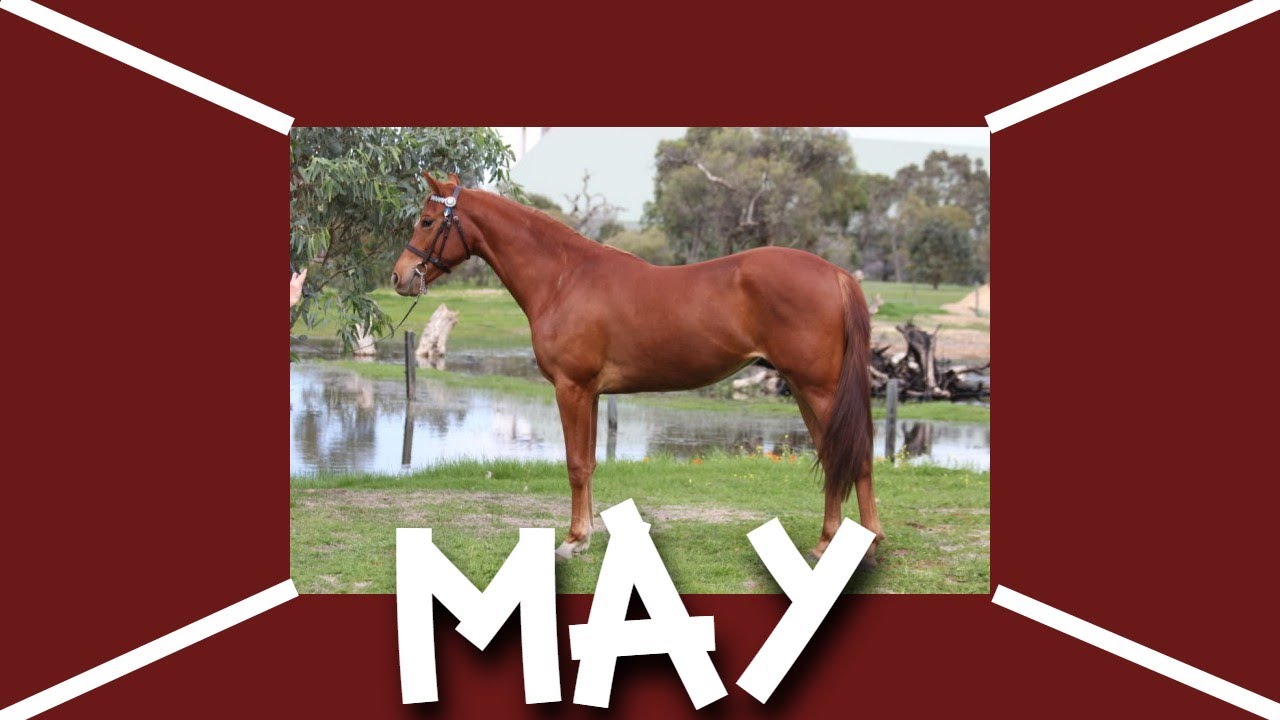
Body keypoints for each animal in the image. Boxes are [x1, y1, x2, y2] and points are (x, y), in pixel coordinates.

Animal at [390, 173, 884, 564]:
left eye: (428, 221)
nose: (399, 276)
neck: (563, 279)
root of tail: (837, 274)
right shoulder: (590, 393)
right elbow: (589, 463)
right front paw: (585, 537)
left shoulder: (571, 389)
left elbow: (575, 465)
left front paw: (572, 541)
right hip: (804, 389)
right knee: (834, 454)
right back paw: (826, 543)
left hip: (819, 388)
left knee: (855, 455)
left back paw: (868, 543)